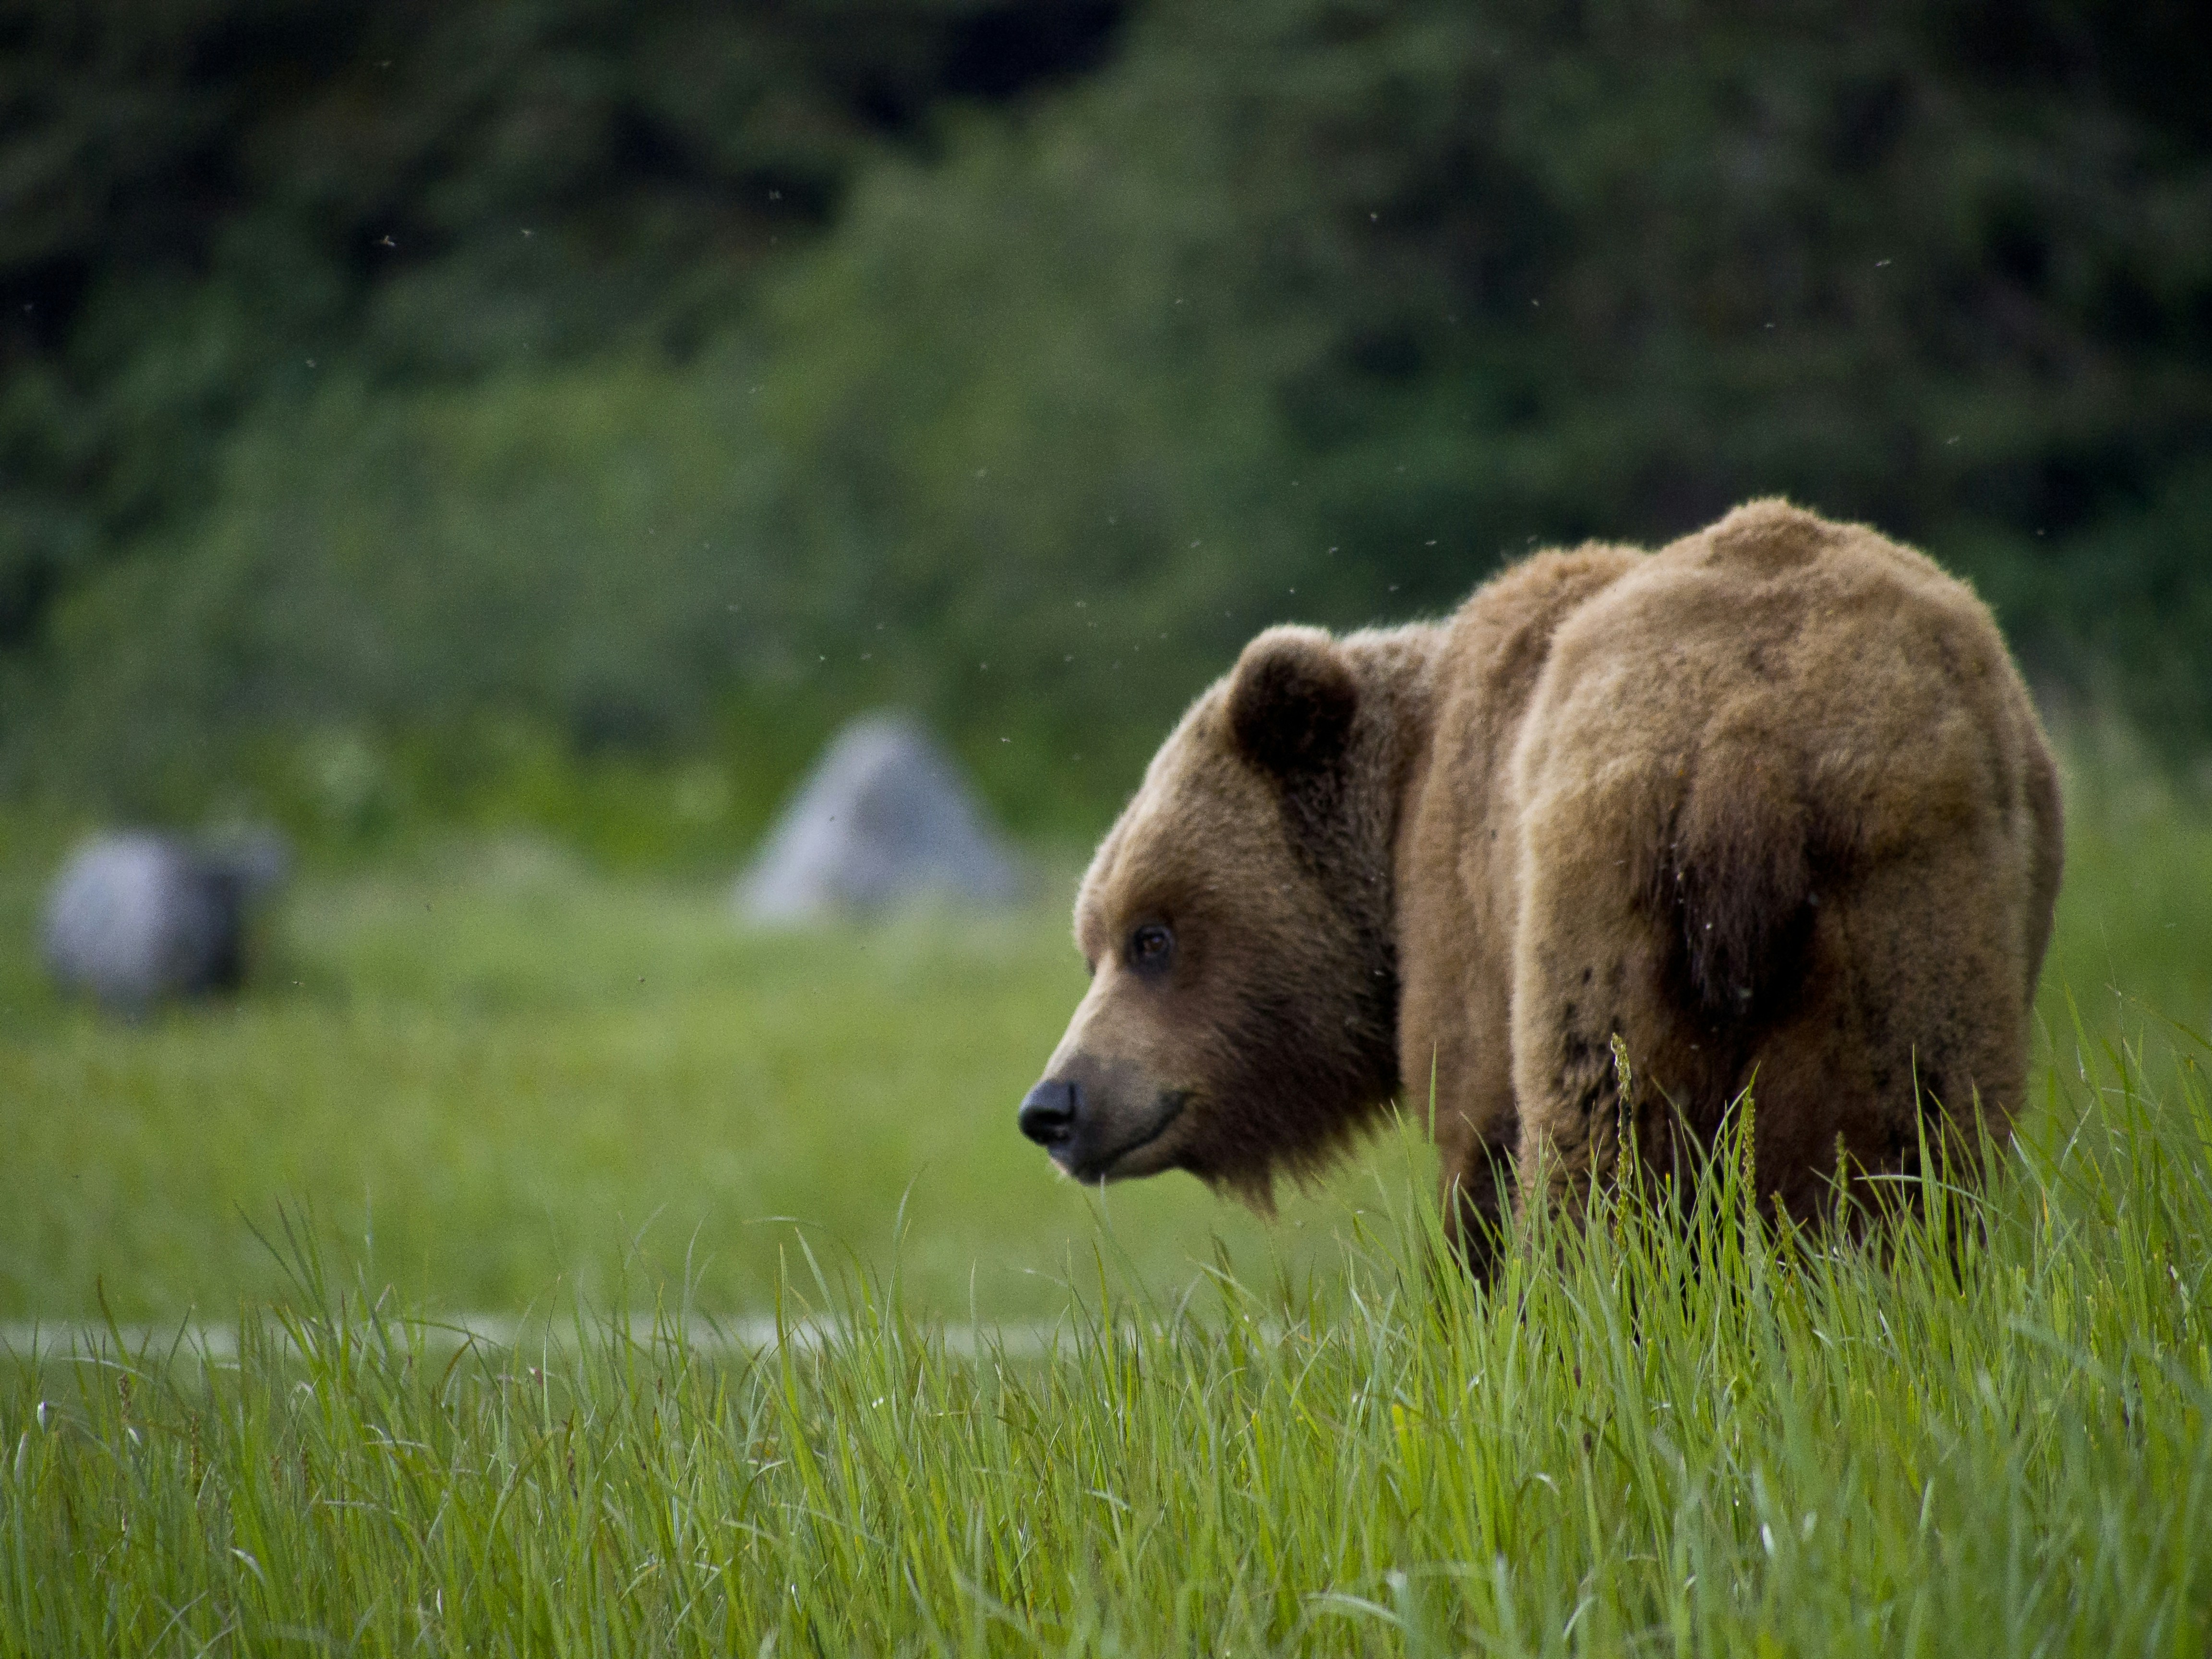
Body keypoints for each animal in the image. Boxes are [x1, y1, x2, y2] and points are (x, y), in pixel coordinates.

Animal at [1017, 500, 2063, 1275]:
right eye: (1093, 940)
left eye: (1152, 936)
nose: (1053, 1104)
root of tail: (1749, 739)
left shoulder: (1467, 923)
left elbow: (1480, 1142)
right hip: (1902, 894)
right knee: (1909, 1144)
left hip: (1605, 891)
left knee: (1602, 1149)